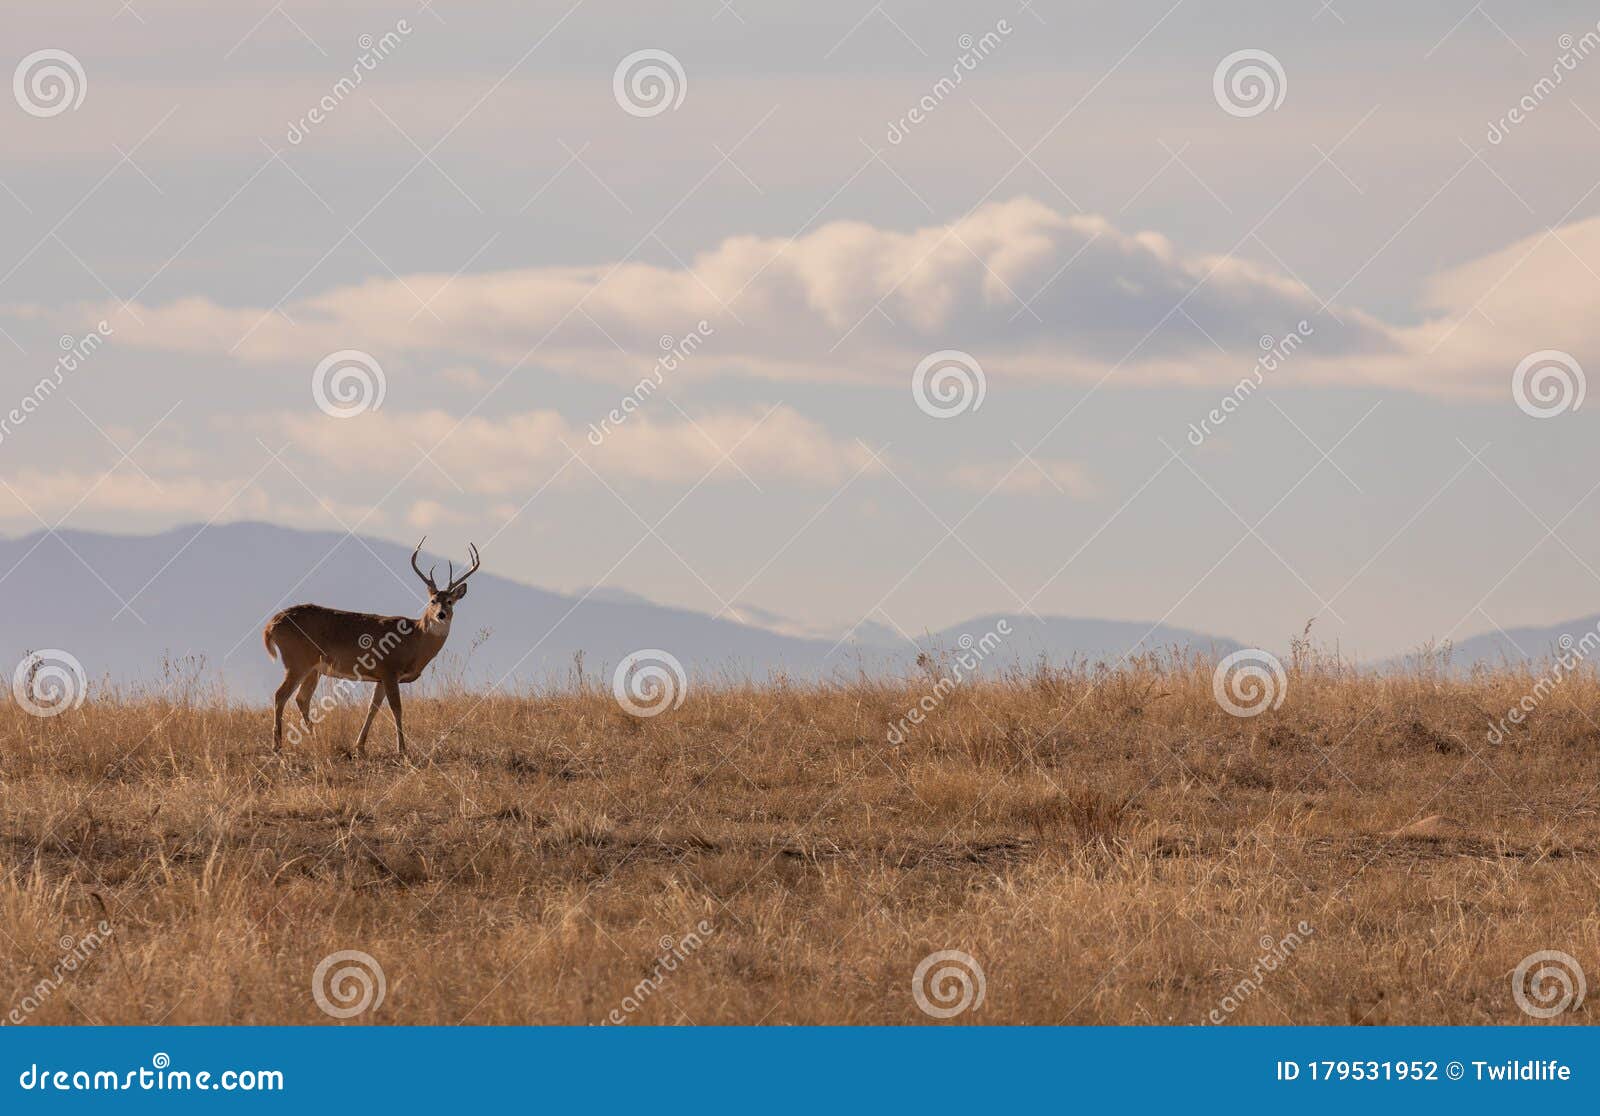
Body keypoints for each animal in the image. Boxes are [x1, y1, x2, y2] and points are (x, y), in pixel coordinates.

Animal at [262, 540, 480, 757]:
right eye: (433, 600)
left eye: (450, 601)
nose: (441, 614)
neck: (415, 640)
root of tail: (272, 624)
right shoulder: (389, 669)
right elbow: (396, 708)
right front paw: (402, 749)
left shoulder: (380, 677)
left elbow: (372, 708)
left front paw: (360, 746)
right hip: (297, 660)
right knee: (281, 695)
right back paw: (277, 746)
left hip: (313, 668)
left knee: (302, 698)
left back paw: (314, 739)